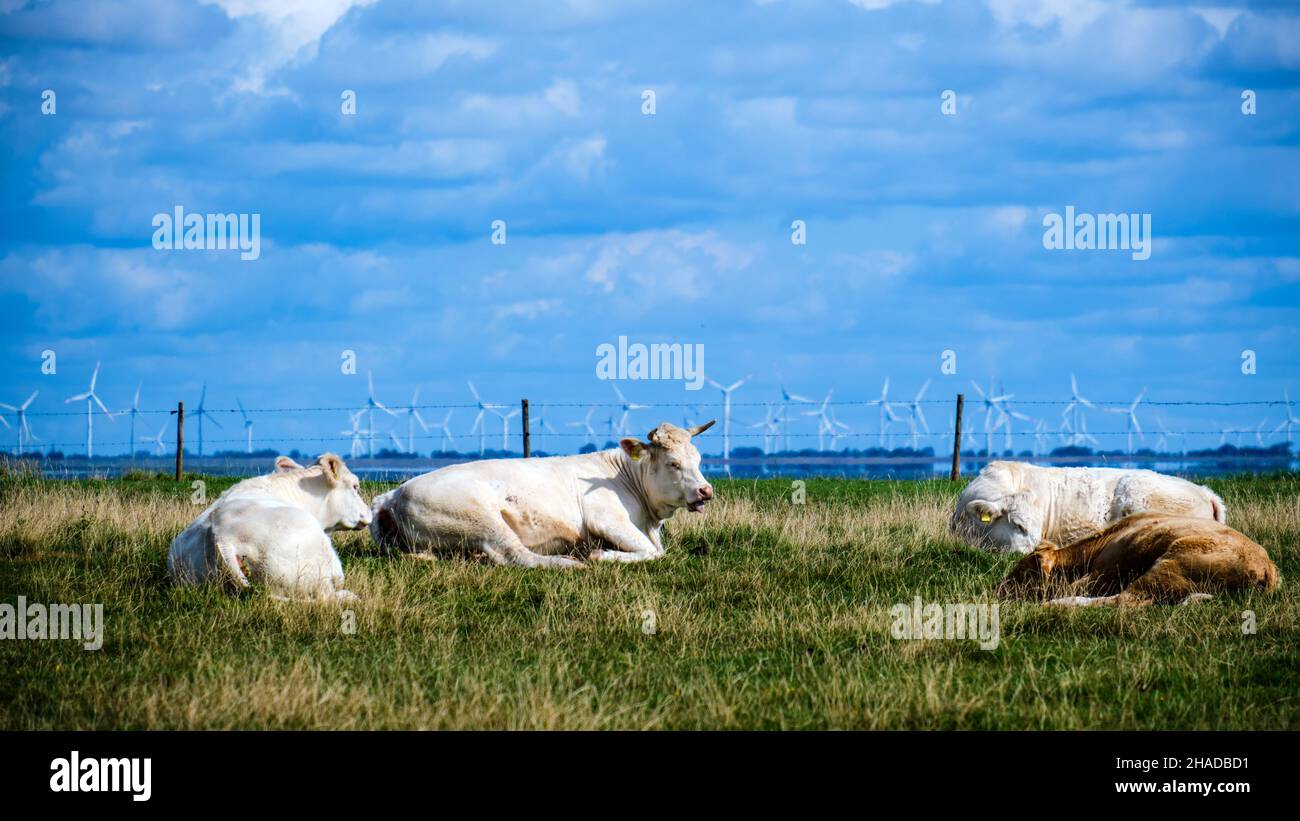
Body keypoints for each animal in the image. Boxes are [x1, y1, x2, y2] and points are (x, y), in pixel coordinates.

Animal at [369, 420, 717, 567]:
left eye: (699, 460)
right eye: (673, 463)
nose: (706, 490)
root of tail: (391, 496)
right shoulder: (605, 518)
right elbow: (654, 552)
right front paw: (602, 555)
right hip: (481, 519)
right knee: (514, 556)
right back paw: (569, 562)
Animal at [996, 512, 1280, 607]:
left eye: (1023, 572)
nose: (998, 591)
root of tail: (1266, 568)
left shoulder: (1104, 573)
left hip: (1168, 565)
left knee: (1126, 601)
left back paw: (1057, 605)